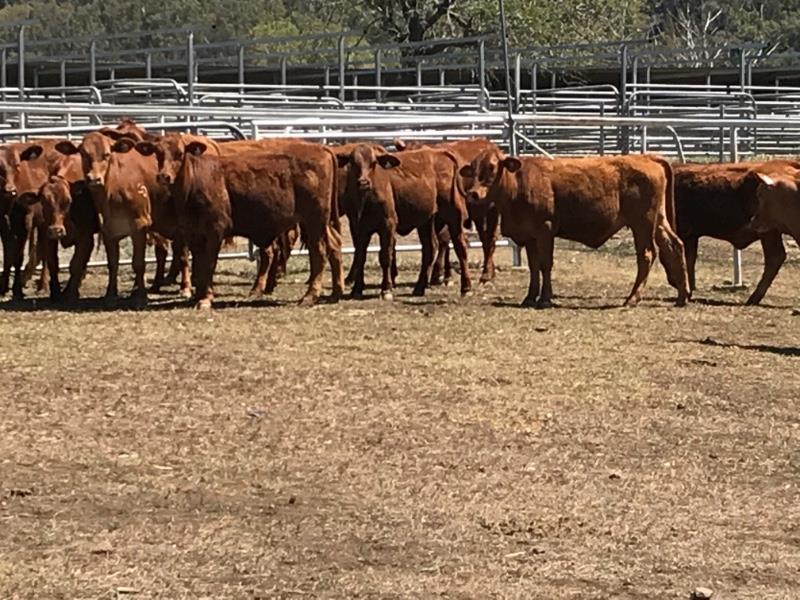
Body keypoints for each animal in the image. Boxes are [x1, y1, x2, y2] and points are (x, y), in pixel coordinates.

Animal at [139, 137, 343, 308]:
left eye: (180, 154)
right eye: (157, 153)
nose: (164, 176)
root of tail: (321, 148)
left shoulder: (215, 230)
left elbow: (208, 264)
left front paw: (205, 299)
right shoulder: (193, 233)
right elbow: (198, 264)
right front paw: (198, 295)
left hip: (315, 219)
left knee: (318, 252)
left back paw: (310, 296)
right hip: (321, 222)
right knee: (334, 245)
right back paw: (336, 292)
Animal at [337, 144, 472, 299]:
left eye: (373, 163)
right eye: (353, 163)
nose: (363, 182)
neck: (365, 200)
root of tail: (441, 153)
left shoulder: (388, 224)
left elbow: (385, 256)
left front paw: (386, 290)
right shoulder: (358, 227)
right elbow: (360, 256)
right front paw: (357, 289)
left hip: (453, 214)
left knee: (460, 246)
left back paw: (466, 287)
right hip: (426, 220)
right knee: (430, 248)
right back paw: (419, 287)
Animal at [395, 137, 501, 286]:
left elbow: (443, 240)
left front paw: (440, 274)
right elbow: (443, 241)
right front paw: (444, 274)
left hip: (489, 211)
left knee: (489, 239)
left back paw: (486, 274)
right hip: (479, 215)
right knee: (486, 239)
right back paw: (491, 273)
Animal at [460, 148, 690, 307]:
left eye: (492, 167)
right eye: (473, 169)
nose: (473, 194)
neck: (517, 185)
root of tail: (647, 157)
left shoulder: (545, 230)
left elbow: (545, 265)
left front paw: (545, 299)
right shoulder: (529, 236)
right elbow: (533, 267)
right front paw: (530, 297)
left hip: (642, 222)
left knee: (647, 254)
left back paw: (632, 298)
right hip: (658, 220)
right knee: (674, 246)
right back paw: (682, 295)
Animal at [672, 160, 800, 305]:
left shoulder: (685, 234)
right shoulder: (691, 236)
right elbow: (690, 260)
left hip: (769, 232)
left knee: (775, 257)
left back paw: (754, 298)